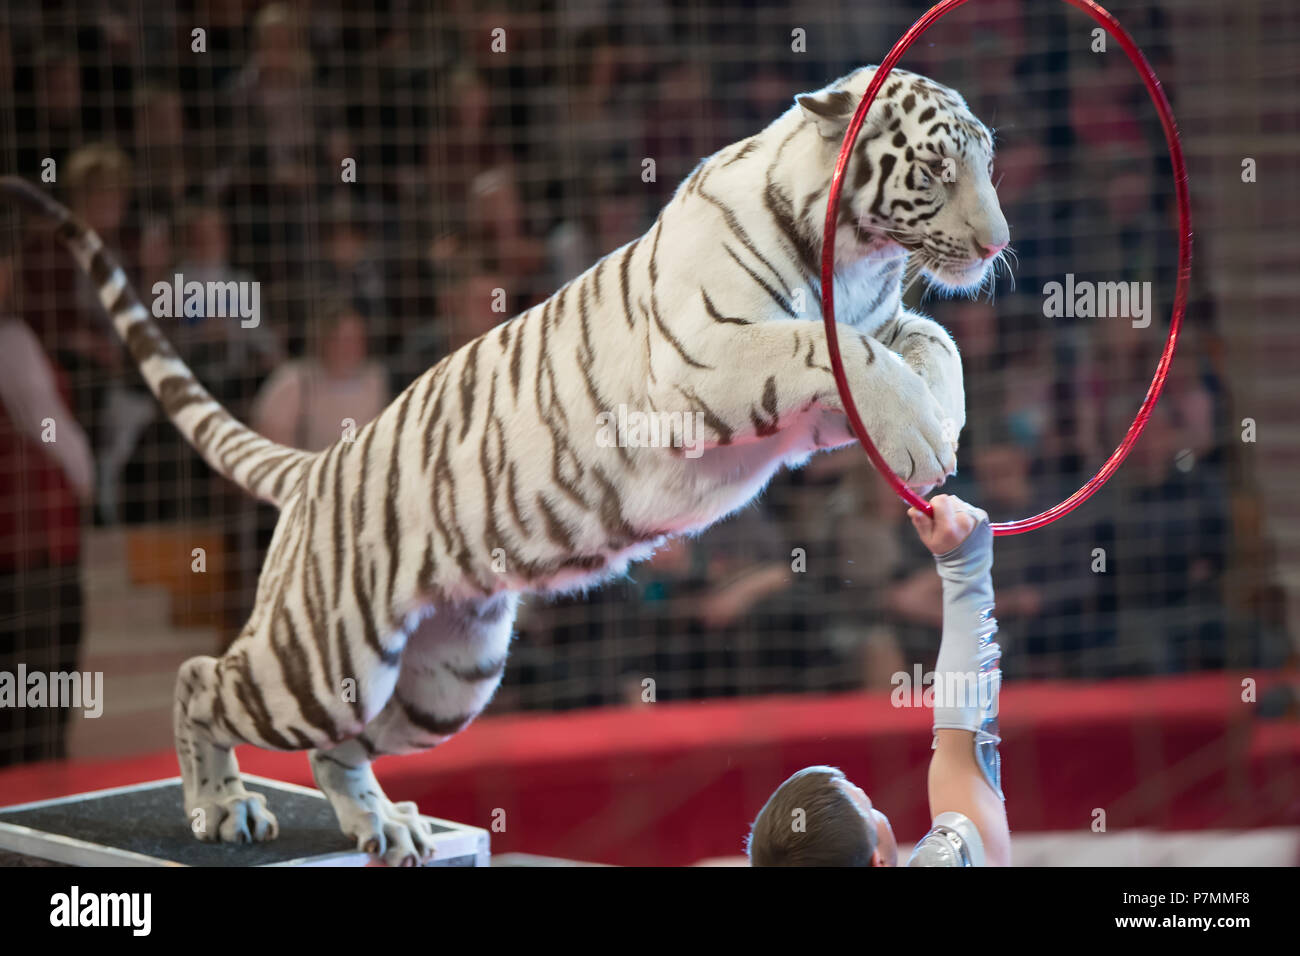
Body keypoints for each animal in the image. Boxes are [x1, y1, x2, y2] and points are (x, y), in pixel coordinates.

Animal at [0, 64, 1009, 865]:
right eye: (934, 170)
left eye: (987, 162)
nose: (998, 243)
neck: (856, 253)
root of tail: (317, 468)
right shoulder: (704, 361)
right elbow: (828, 347)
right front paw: (923, 438)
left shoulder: (868, 339)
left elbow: (934, 345)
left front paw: (939, 426)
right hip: (315, 661)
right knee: (202, 680)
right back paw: (222, 805)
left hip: (445, 682)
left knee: (341, 746)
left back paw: (384, 826)